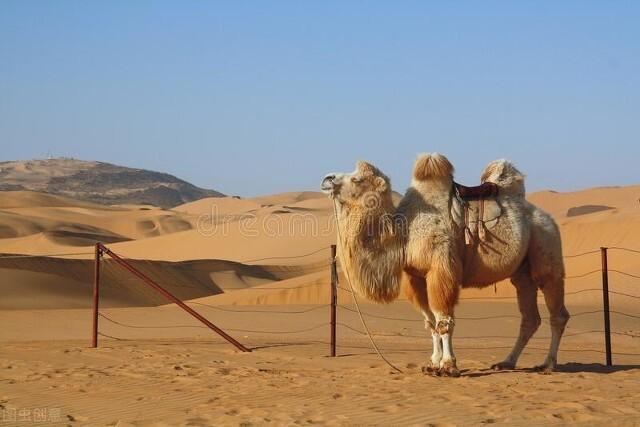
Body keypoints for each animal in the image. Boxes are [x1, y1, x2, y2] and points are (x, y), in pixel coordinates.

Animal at [321, 153, 569, 377]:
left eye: (356, 179)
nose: (327, 179)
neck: (405, 232)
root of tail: (546, 217)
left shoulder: (441, 269)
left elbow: (443, 321)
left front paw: (448, 366)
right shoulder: (415, 276)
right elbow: (430, 323)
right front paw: (432, 364)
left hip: (546, 244)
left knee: (556, 309)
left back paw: (547, 364)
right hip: (522, 271)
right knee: (529, 316)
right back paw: (506, 362)